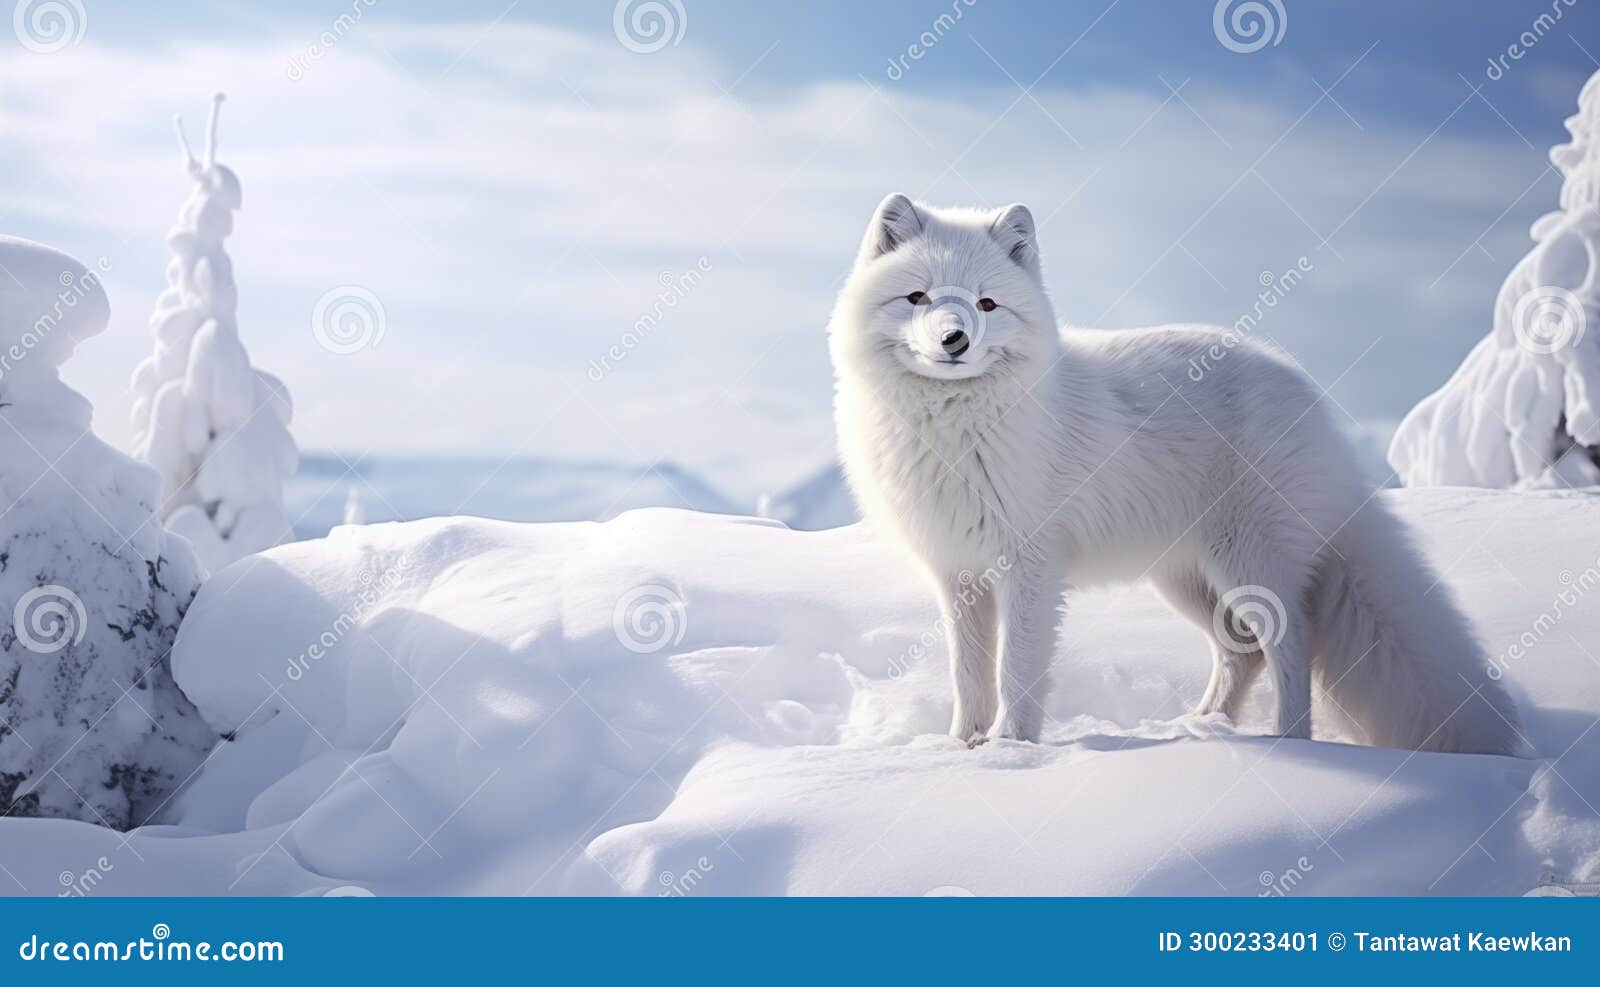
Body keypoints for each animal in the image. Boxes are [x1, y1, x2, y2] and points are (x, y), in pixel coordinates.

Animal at [828, 193, 1526, 756]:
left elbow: (1016, 671)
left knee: (1294, 645)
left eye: (986, 304)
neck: (952, 433)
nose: (955, 340)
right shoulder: (957, 572)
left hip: (1249, 565)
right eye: (918, 297)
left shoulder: (1030, 565)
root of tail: (1310, 395)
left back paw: (1291, 742)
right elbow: (968, 674)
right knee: (1241, 653)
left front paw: (1009, 749)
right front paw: (961, 748)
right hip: (1186, 578)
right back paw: (1202, 727)